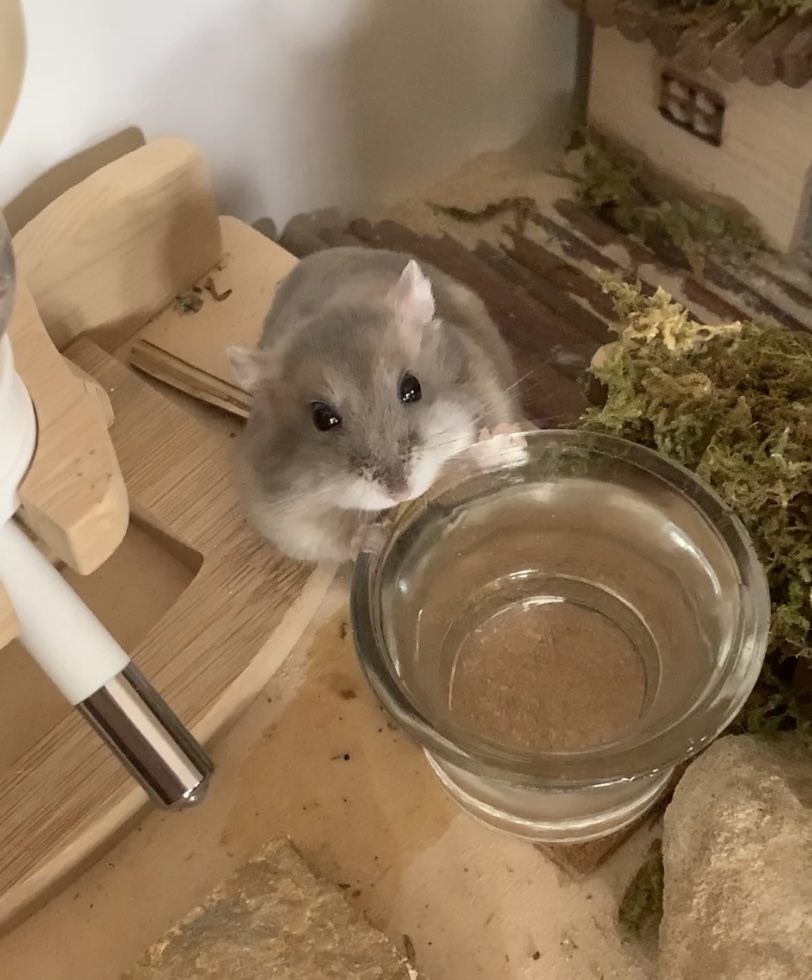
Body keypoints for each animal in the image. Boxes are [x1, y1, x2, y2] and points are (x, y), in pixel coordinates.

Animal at [228, 246, 520, 563]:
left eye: (411, 388)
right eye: (323, 419)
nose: (402, 493)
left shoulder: (485, 382)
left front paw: (498, 443)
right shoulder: (285, 518)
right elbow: (336, 537)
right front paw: (375, 540)